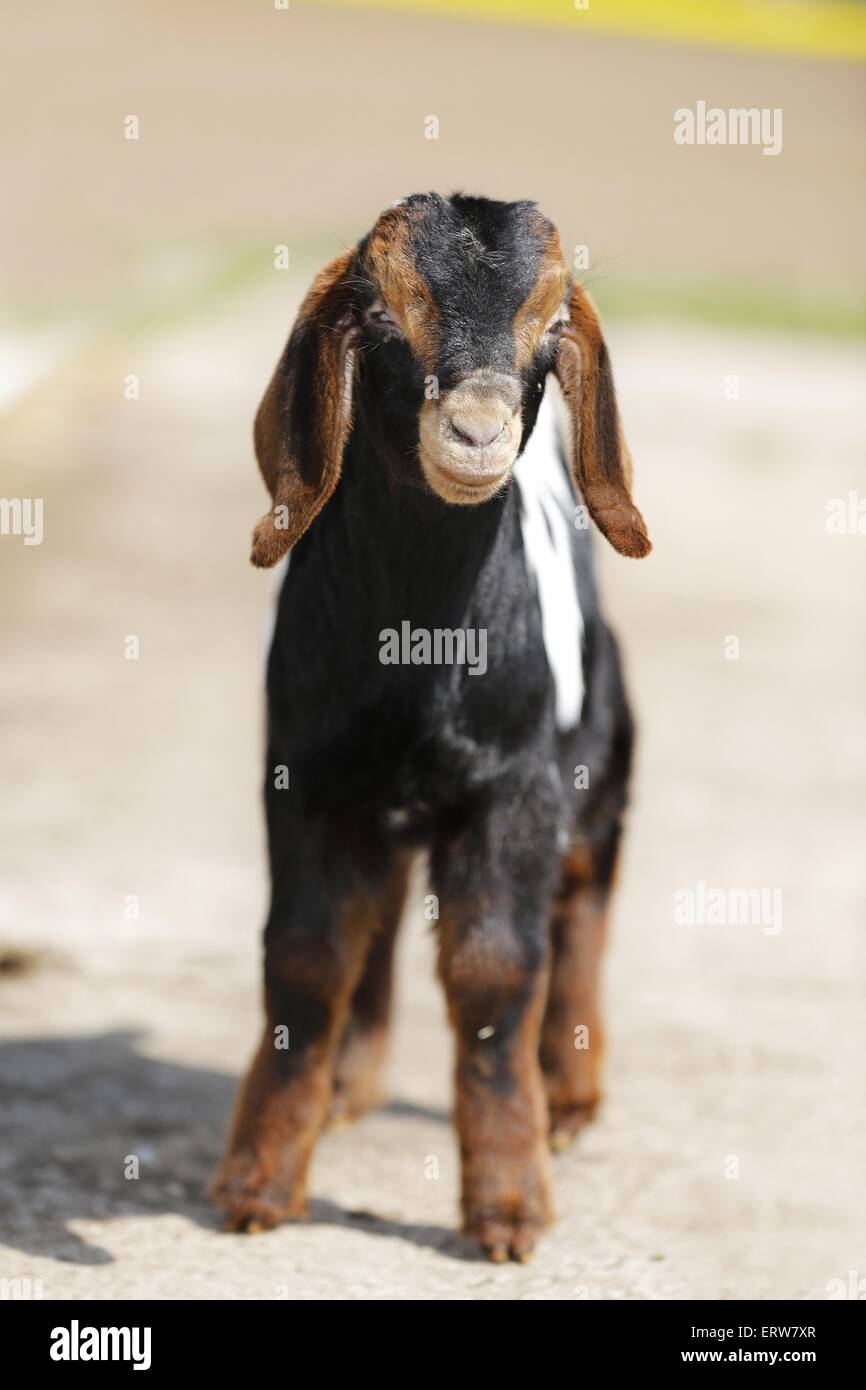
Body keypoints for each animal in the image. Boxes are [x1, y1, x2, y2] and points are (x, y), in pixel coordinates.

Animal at [211, 192, 651, 1262]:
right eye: (380, 317)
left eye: (549, 327)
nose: (476, 431)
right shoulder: (304, 778)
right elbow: (306, 956)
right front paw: (259, 1180)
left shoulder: (514, 788)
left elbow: (497, 967)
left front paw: (509, 1206)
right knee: (373, 911)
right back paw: (348, 1084)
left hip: (601, 761)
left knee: (585, 900)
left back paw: (569, 1097)